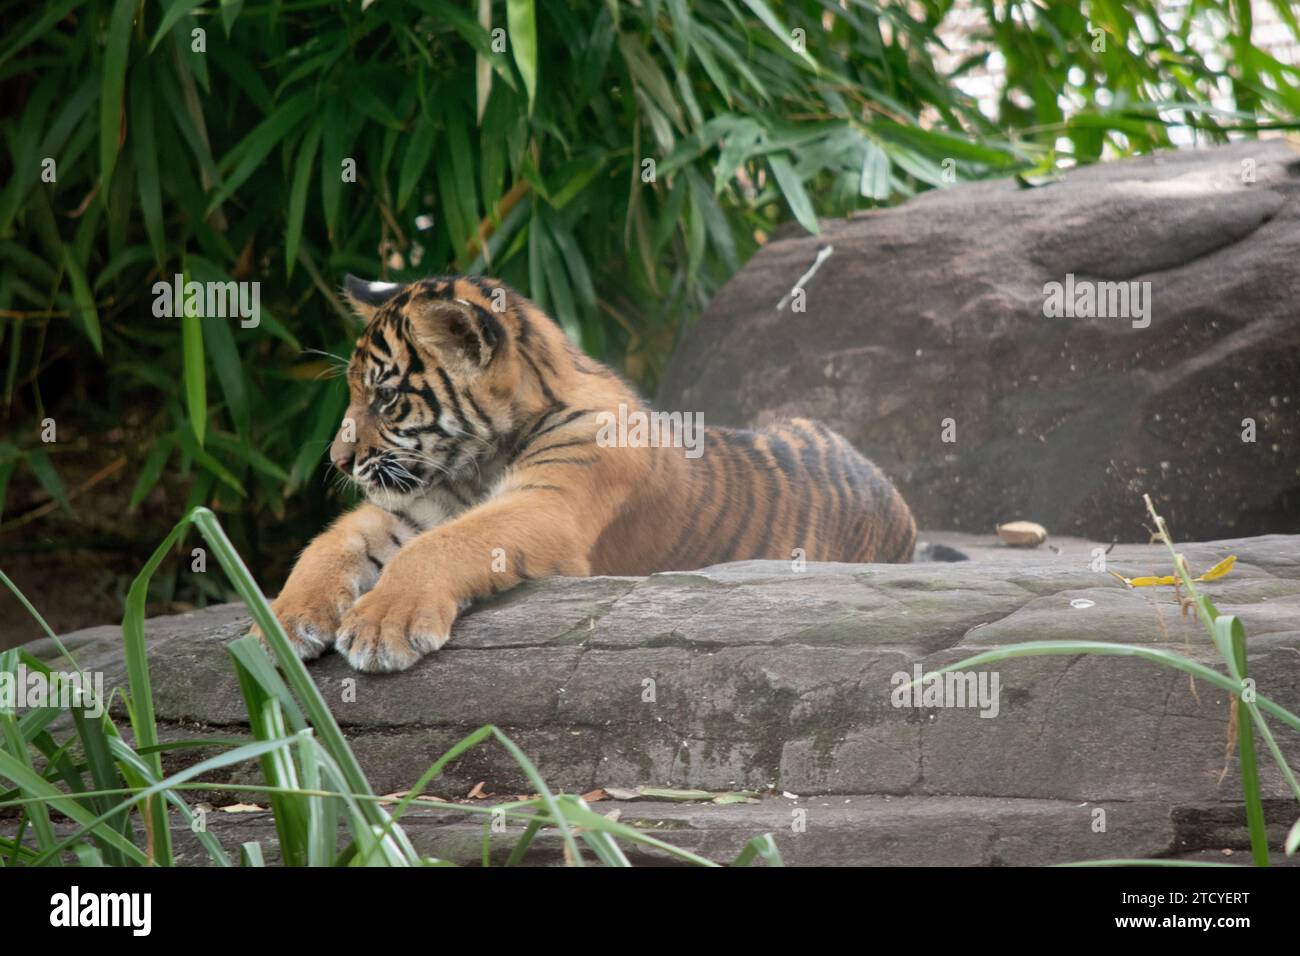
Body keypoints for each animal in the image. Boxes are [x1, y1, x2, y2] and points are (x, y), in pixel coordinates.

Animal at [250, 274, 917, 672]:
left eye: (385, 398)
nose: (338, 461)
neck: (473, 465)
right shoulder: (410, 510)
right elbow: (329, 544)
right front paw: (279, 626)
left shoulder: (548, 503)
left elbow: (443, 546)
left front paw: (382, 623)